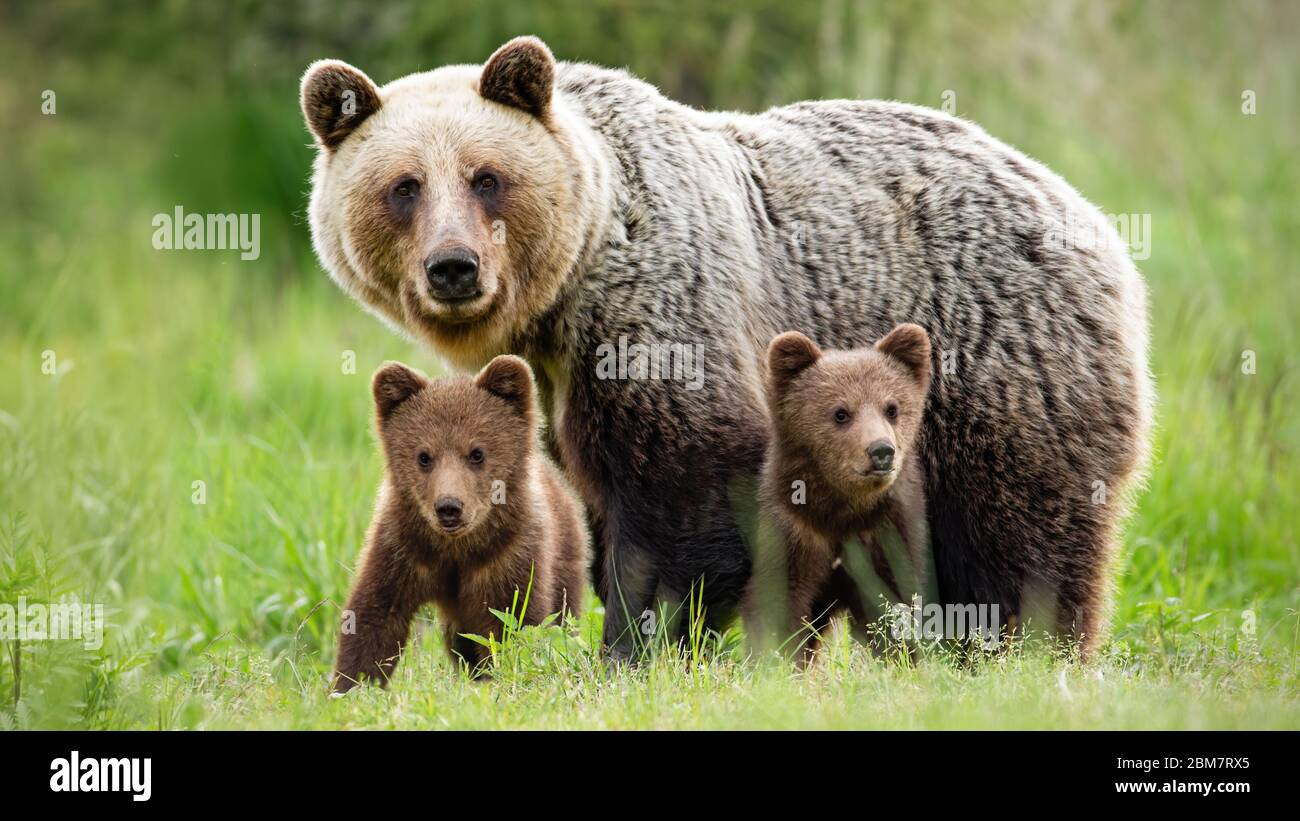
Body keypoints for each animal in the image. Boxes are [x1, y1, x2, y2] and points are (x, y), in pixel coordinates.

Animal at [332, 355, 587, 692]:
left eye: (477, 453)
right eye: (424, 456)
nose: (449, 507)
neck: (456, 549)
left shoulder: (509, 555)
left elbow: (514, 622)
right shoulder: (402, 548)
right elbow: (374, 616)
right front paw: (352, 685)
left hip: (565, 554)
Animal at [753, 324, 933, 663]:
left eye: (892, 408)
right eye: (840, 413)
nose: (881, 451)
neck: (842, 514)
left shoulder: (886, 535)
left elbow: (893, 605)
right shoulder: (796, 532)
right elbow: (781, 606)